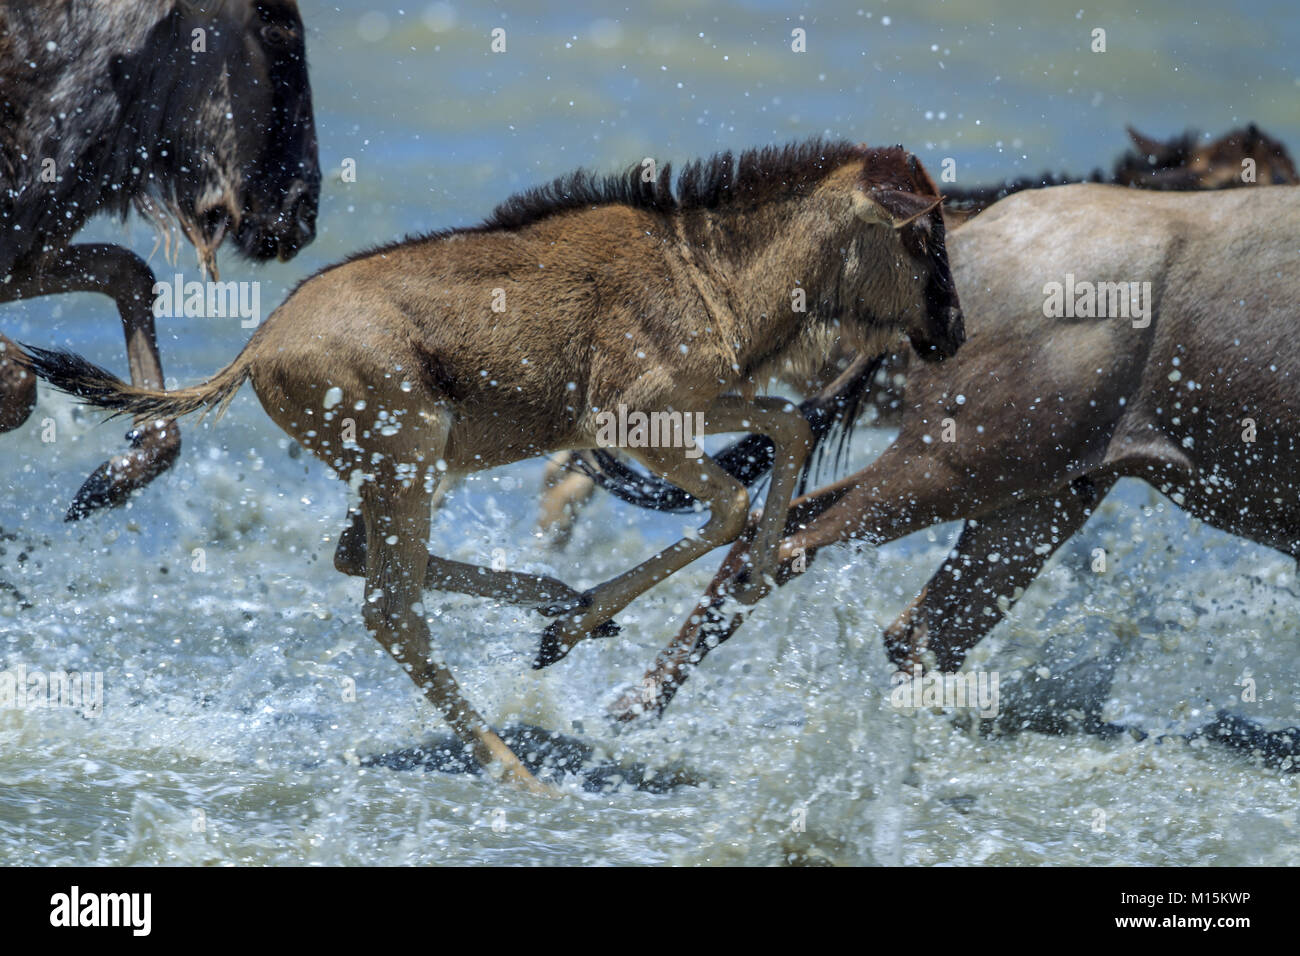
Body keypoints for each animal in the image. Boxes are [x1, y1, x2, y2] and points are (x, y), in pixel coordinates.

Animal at [19, 139, 963, 788]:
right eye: (923, 237)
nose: (952, 334)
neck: (708, 268)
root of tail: (257, 348)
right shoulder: (632, 420)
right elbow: (729, 501)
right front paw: (571, 633)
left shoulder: (701, 402)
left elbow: (792, 433)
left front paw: (751, 573)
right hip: (407, 458)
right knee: (390, 608)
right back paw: (520, 764)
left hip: (409, 468)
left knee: (358, 559)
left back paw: (555, 603)